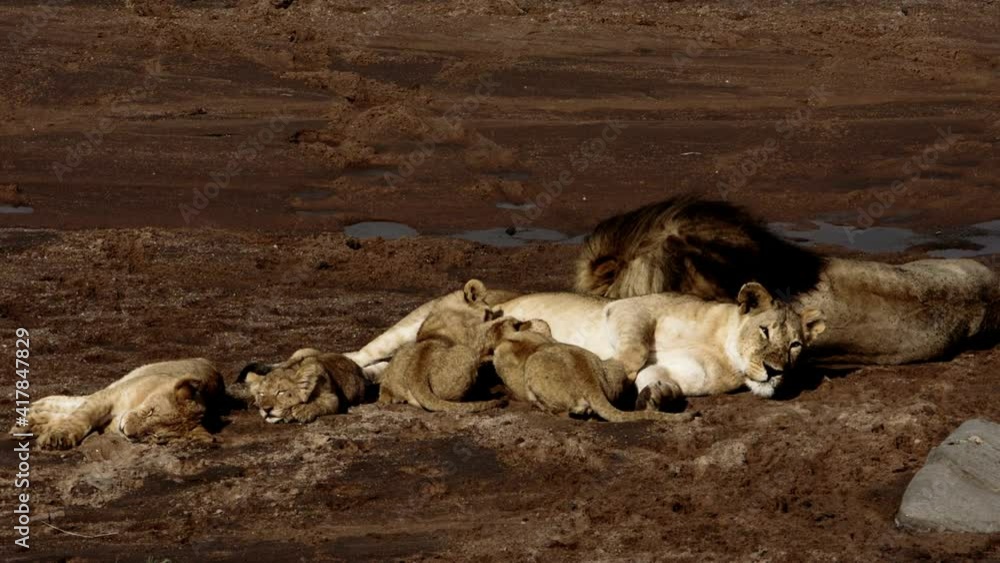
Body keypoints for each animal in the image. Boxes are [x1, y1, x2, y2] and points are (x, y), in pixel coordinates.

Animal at [18, 359, 225, 449]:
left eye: (155, 436)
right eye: (150, 411)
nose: (127, 431)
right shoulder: (109, 397)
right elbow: (81, 416)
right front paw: (57, 438)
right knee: (77, 401)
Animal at [237, 348, 368, 423]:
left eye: (281, 392)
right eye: (262, 394)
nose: (266, 409)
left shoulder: (332, 398)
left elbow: (319, 403)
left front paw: (302, 411)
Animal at [376, 279, 507, 413]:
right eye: (489, 313)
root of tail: (415, 375)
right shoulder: (471, 336)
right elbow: (486, 330)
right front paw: (506, 319)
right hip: (466, 354)